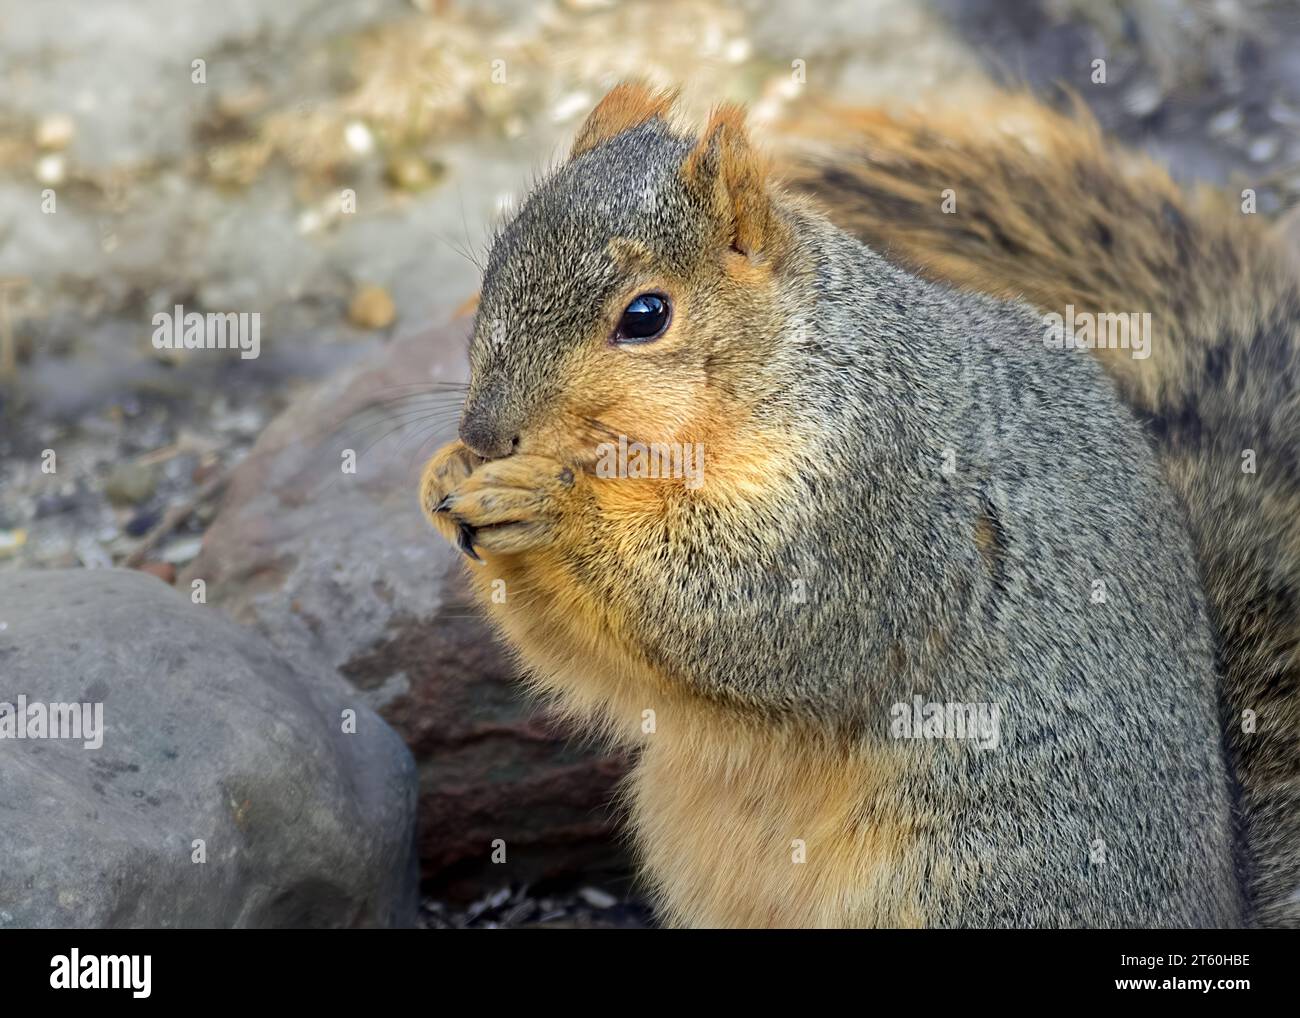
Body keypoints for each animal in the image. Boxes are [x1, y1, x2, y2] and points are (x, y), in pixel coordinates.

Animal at [419, 83, 1293, 927]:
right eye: (494, 268)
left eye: (645, 316)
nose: (485, 431)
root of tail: (1216, 904)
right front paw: (443, 476)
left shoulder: (868, 497)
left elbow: (743, 611)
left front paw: (551, 500)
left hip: (978, 877)